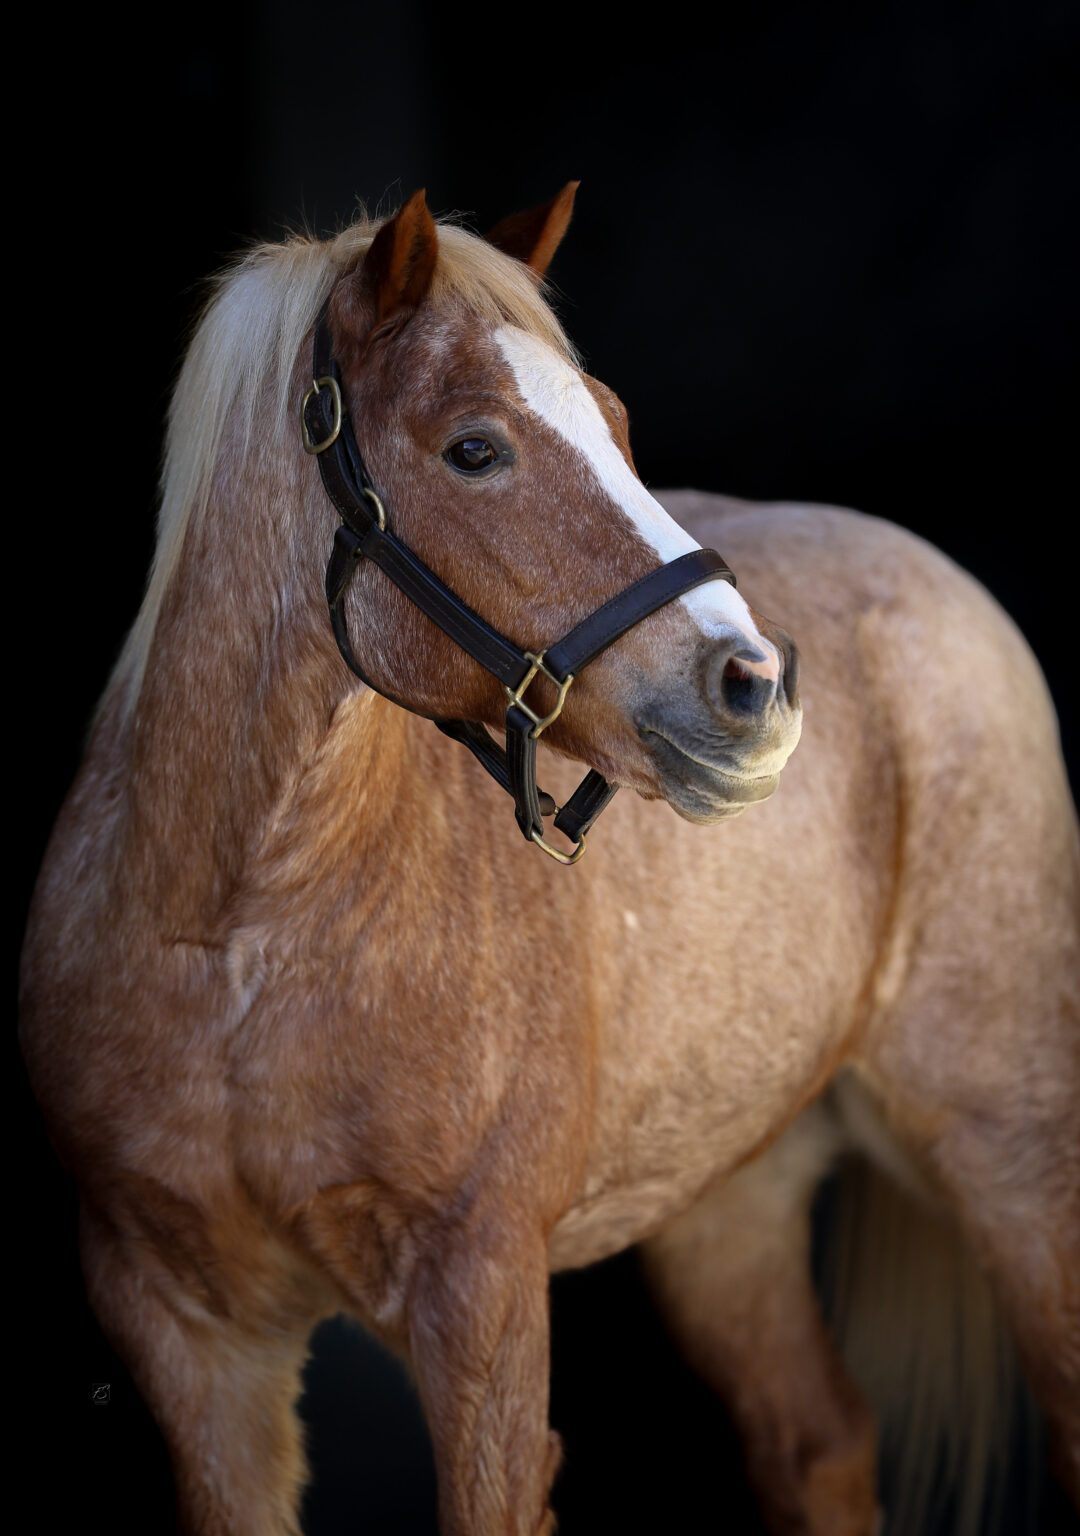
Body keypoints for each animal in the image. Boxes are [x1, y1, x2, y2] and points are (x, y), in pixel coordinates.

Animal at [19, 184, 1078, 1536]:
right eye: (476, 448)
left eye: (616, 425)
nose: (754, 687)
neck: (233, 942)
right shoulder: (186, 1336)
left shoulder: (483, 1310)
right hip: (727, 1203)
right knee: (822, 1442)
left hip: (1016, 1153)